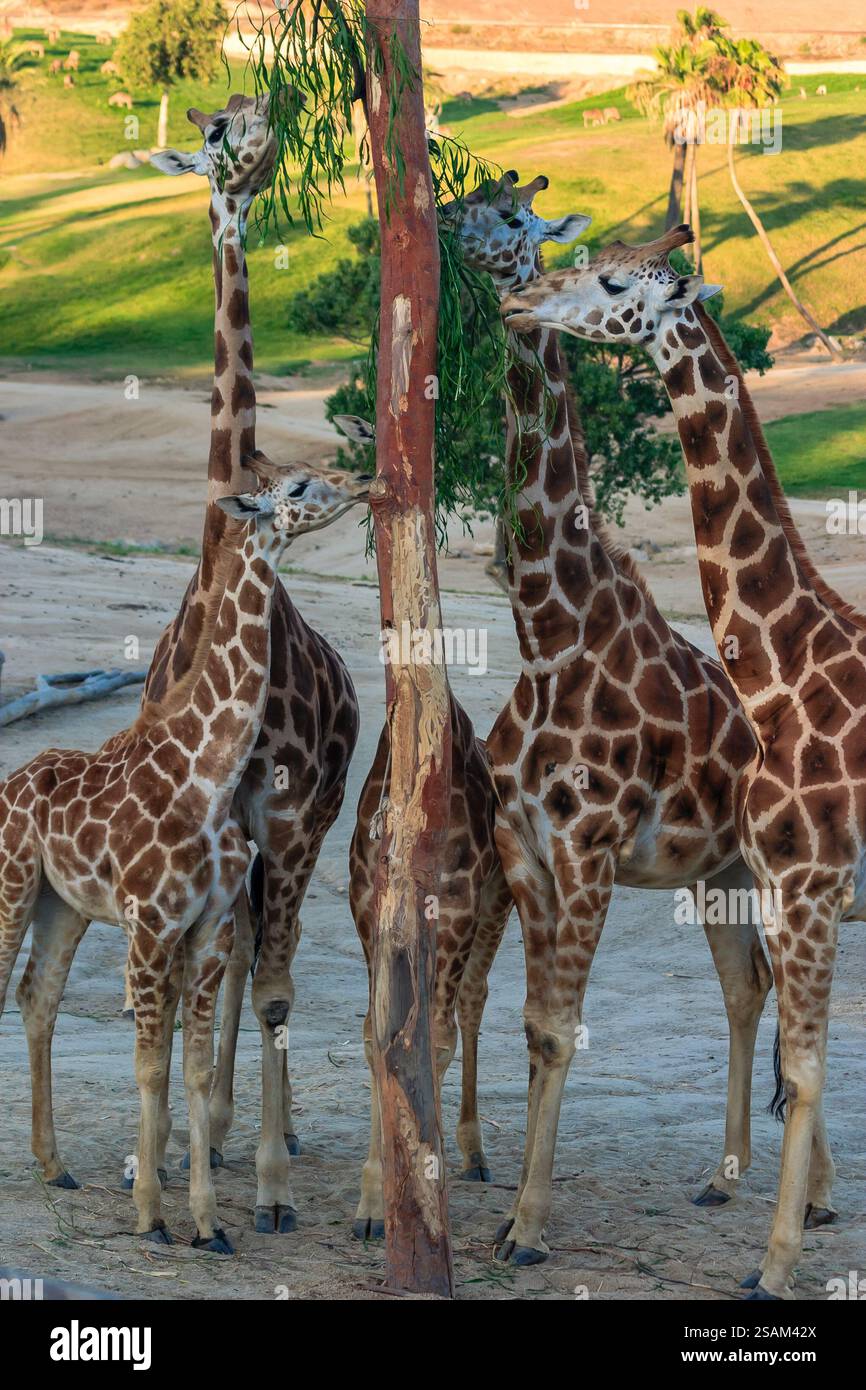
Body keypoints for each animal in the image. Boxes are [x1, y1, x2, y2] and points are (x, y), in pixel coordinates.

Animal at [0, 459, 370, 1251]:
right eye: (296, 487)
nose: (361, 482)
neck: (208, 773)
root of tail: (11, 781)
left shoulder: (205, 929)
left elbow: (195, 1066)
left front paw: (208, 1223)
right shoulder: (151, 923)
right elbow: (148, 1063)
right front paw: (152, 1213)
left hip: (62, 905)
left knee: (37, 995)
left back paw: (56, 1166)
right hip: (12, 885)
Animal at [443, 175, 775, 1267]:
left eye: (513, 219)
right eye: (466, 200)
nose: (513, 299)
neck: (550, 631)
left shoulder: (585, 847)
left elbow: (560, 1027)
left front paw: (528, 1229)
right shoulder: (523, 845)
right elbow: (533, 1022)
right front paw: (510, 1208)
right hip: (723, 870)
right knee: (749, 987)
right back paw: (730, 1180)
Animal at [499, 223, 866, 1297]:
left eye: (618, 280)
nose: (521, 301)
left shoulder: (805, 882)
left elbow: (809, 1063)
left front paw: (773, 1267)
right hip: (724, 875)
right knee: (750, 996)